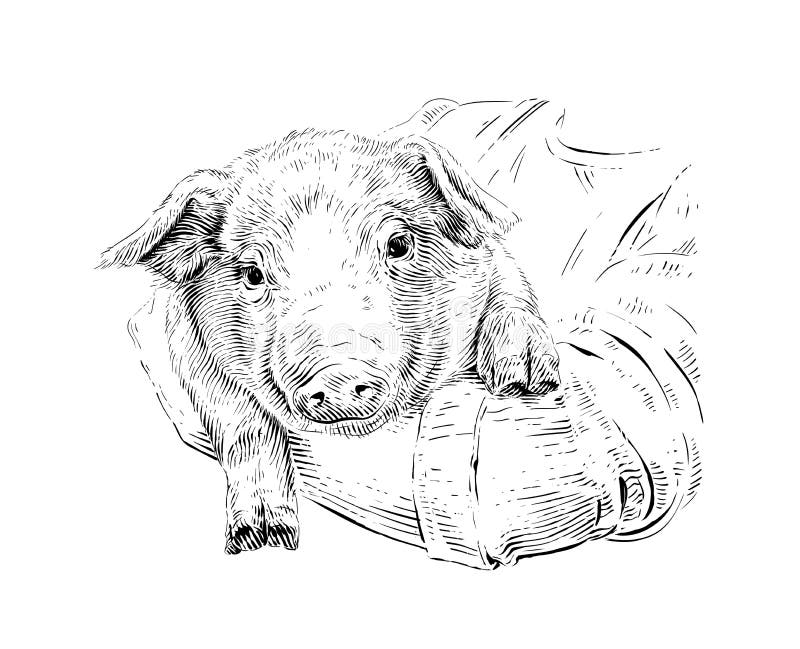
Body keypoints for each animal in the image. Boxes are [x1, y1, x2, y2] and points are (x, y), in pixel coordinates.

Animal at [101, 129, 560, 553]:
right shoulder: (187, 349)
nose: (336, 373)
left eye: (399, 244)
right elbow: (244, 423)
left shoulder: (496, 261)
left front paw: (527, 381)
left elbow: (512, 290)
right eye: (252, 273)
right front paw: (262, 537)